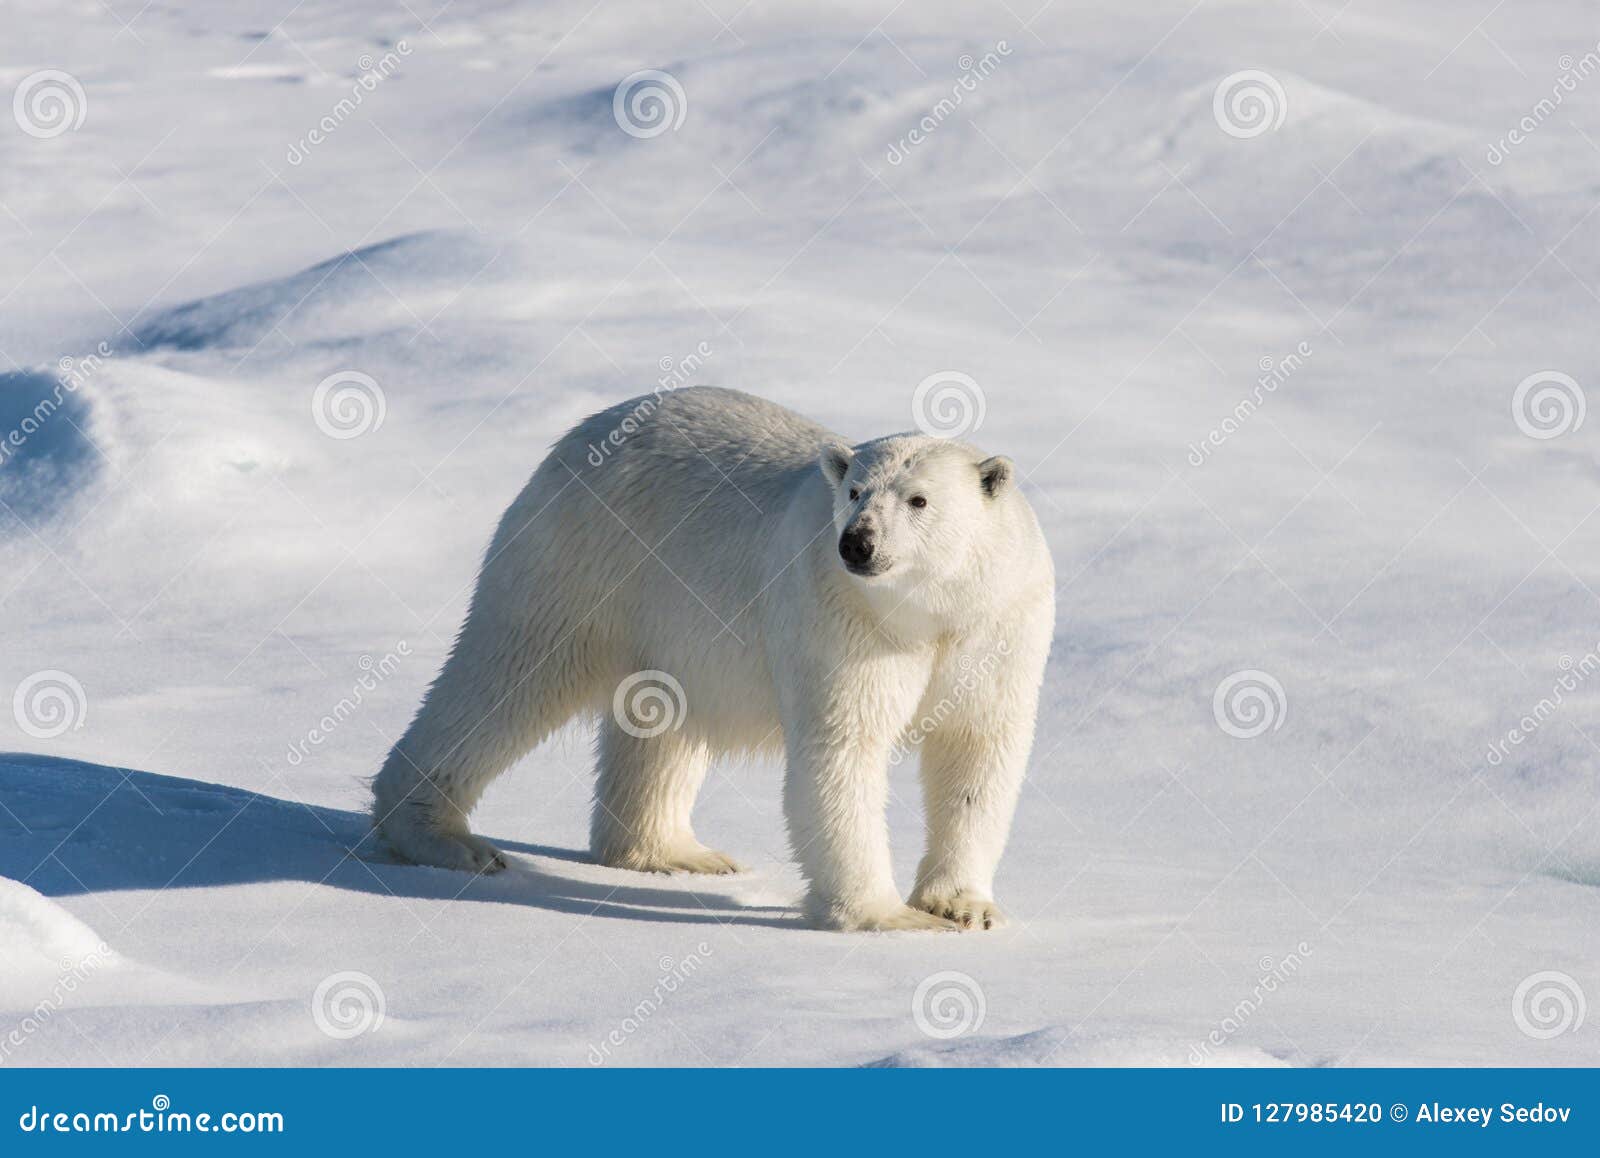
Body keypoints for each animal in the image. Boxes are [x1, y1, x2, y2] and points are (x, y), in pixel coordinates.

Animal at [371, 386, 1055, 931]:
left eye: (918, 500)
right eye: (856, 490)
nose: (857, 544)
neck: (924, 612)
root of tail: (585, 434)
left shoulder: (999, 625)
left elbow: (977, 752)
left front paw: (963, 907)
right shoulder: (839, 618)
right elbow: (844, 749)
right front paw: (889, 917)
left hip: (665, 617)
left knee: (659, 723)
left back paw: (674, 852)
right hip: (582, 560)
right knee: (506, 675)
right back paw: (444, 838)